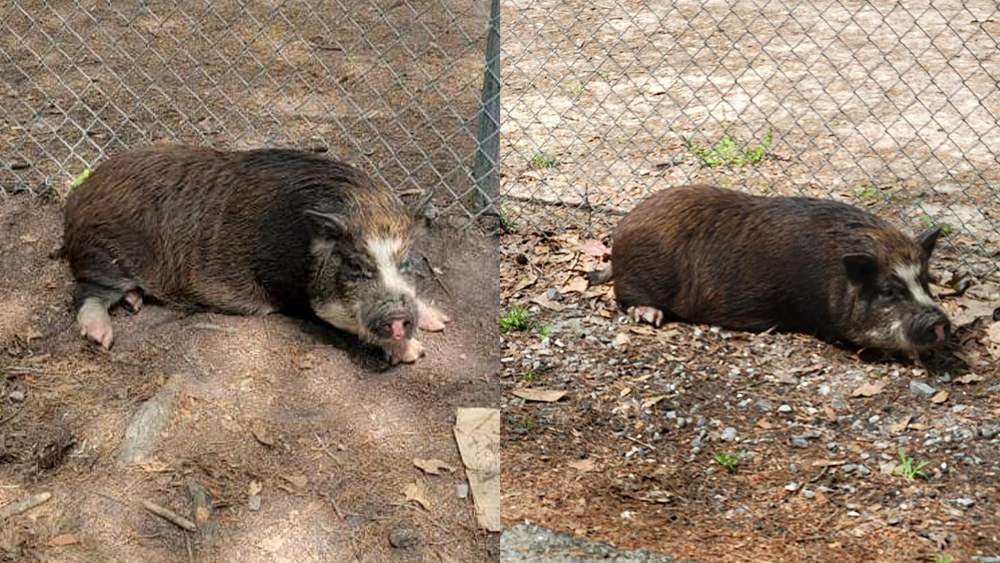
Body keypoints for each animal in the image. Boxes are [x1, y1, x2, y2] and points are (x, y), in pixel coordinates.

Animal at [62, 145, 450, 364]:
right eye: (355, 265)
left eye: (408, 262)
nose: (398, 316)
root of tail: (80, 195)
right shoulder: (295, 296)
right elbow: (343, 324)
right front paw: (415, 354)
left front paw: (441, 321)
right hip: (103, 256)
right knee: (83, 293)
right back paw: (102, 337)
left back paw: (134, 302)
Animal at [588, 184, 951, 353]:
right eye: (888, 291)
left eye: (925, 282)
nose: (939, 322)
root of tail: (621, 235)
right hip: (638, 281)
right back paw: (651, 317)